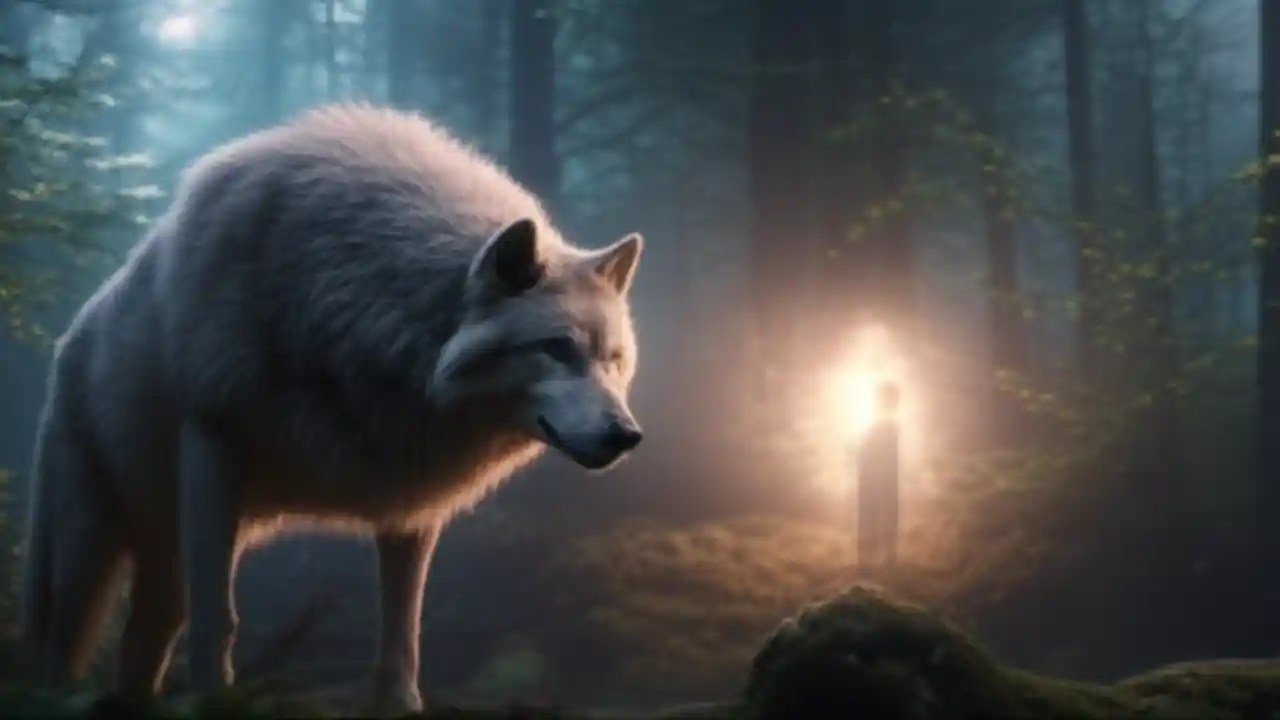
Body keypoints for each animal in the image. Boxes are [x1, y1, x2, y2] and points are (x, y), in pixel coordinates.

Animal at [21, 104, 644, 713]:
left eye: (612, 360)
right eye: (556, 348)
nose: (627, 435)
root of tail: (67, 340)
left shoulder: (409, 490)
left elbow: (401, 636)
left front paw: (398, 704)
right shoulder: (212, 441)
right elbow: (219, 619)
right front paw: (216, 701)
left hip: (170, 554)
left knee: (142, 642)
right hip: (86, 547)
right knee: (62, 652)